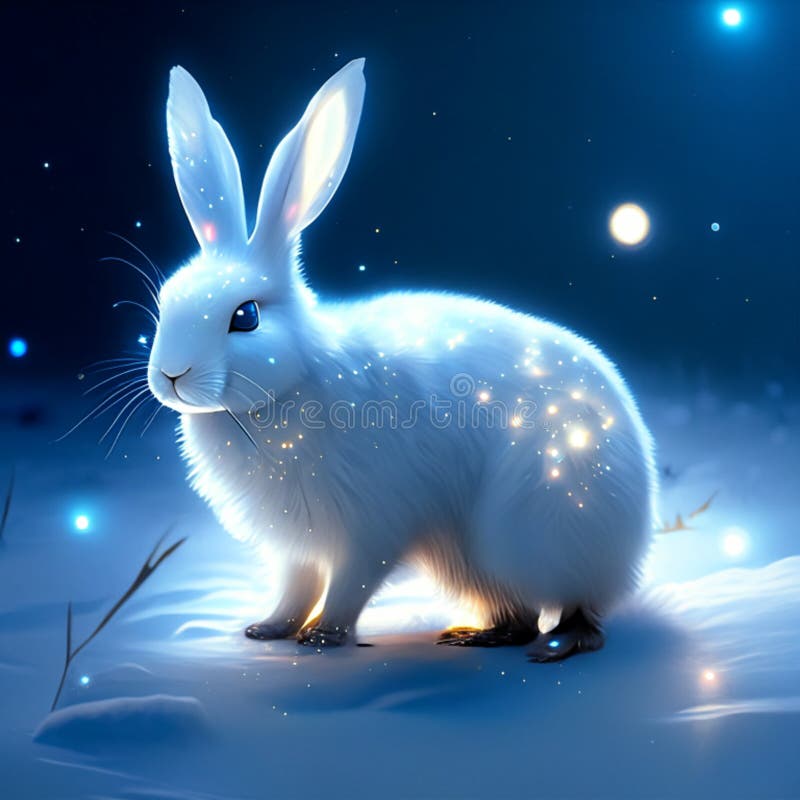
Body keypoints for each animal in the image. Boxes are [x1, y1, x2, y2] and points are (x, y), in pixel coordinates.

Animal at [147, 58, 658, 661]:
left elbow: (351, 584)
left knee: (570, 611)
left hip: (532, 525)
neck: (287, 388)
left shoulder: (372, 526)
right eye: (165, 302)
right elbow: (297, 587)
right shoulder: (297, 547)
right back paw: (475, 634)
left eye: (244, 316)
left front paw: (323, 636)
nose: (171, 375)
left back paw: (553, 642)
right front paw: (268, 629)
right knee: (523, 615)